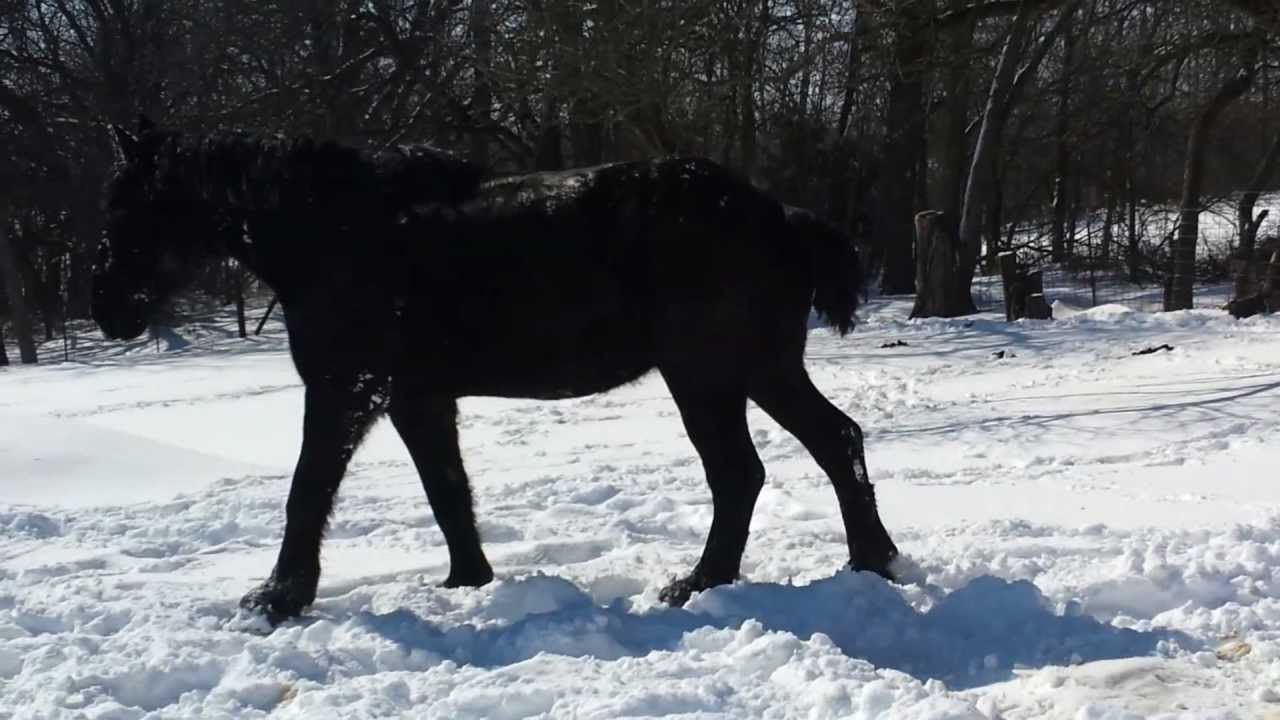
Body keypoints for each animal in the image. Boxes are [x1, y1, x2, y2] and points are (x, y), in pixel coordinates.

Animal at [92, 118, 900, 625]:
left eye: (127, 208)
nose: (108, 313)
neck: (333, 232)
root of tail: (779, 214)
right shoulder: (416, 398)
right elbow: (447, 490)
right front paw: (467, 581)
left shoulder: (346, 391)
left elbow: (307, 492)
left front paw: (278, 597)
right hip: (759, 372)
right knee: (837, 443)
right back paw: (872, 560)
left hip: (708, 377)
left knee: (741, 473)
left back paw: (702, 582)